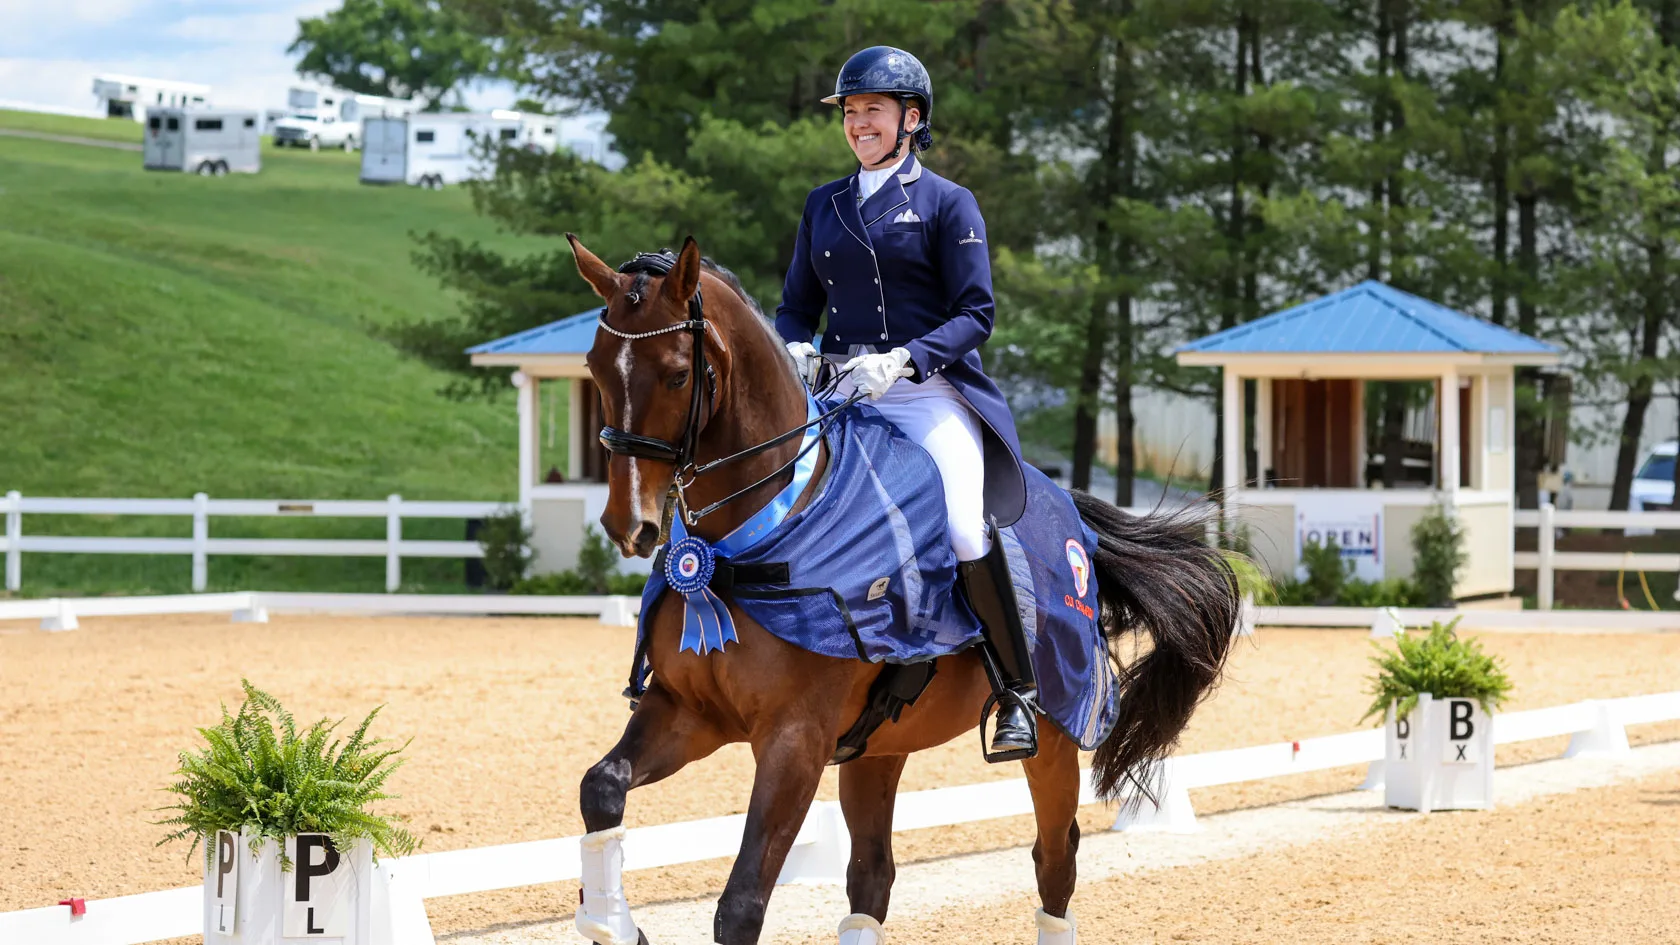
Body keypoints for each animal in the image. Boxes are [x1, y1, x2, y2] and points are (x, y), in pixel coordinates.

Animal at [566, 233, 1240, 945]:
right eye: (595, 367)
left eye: (676, 373)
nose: (629, 525)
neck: (761, 533)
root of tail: (1069, 510)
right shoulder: (687, 711)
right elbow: (601, 786)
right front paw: (609, 919)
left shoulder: (794, 738)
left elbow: (741, 906)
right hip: (876, 747)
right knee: (873, 876)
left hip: (1056, 731)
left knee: (1055, 859)